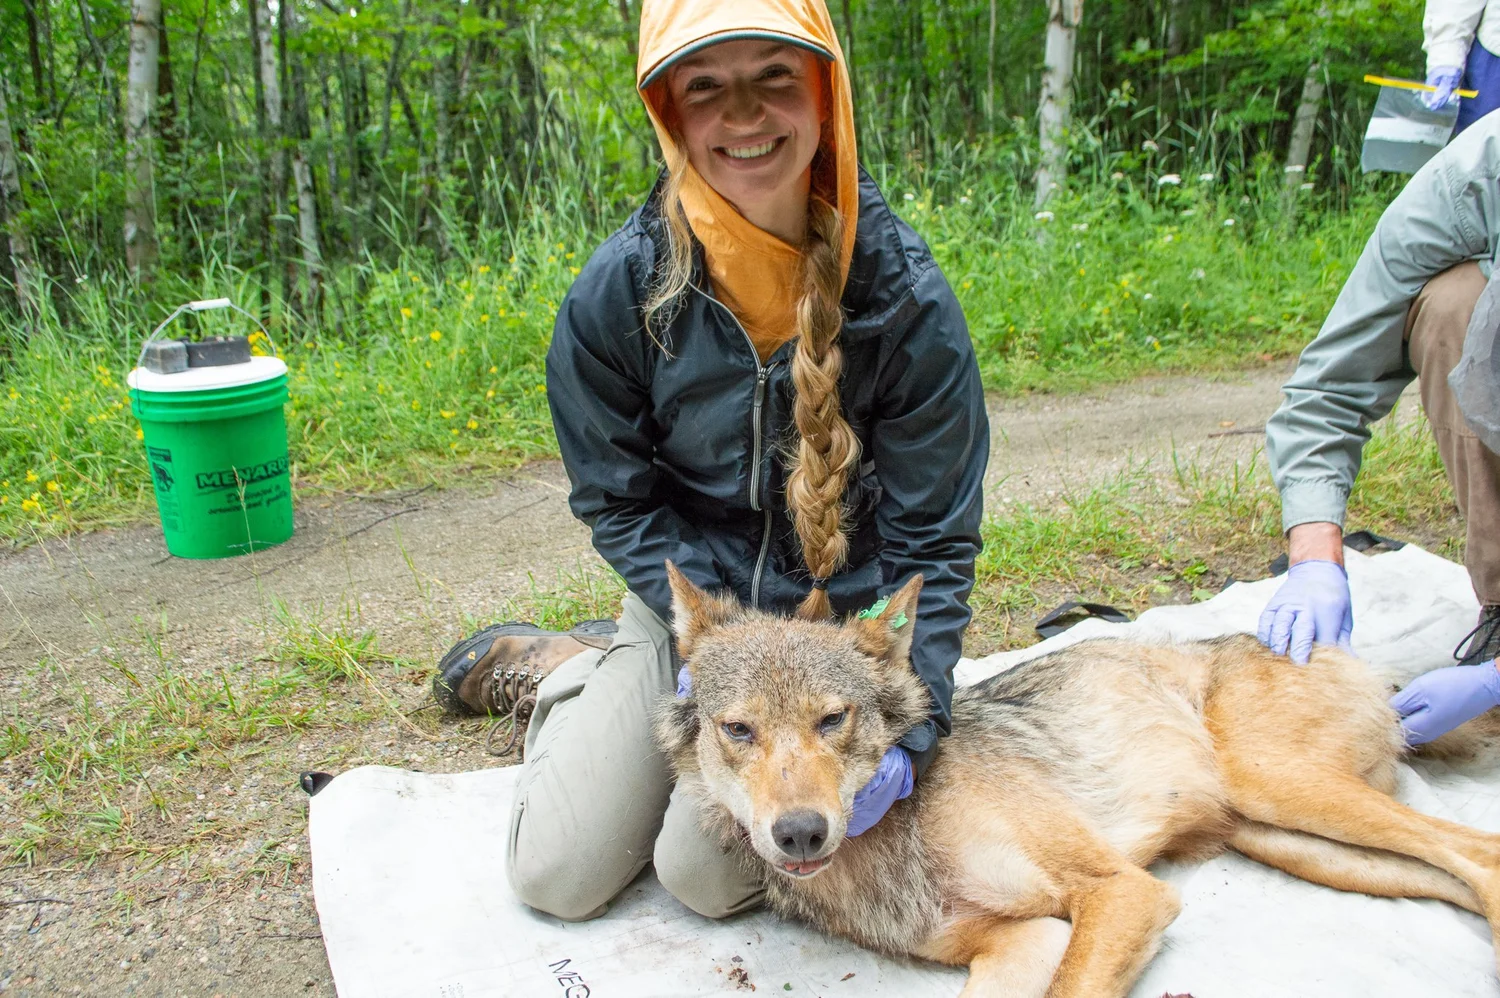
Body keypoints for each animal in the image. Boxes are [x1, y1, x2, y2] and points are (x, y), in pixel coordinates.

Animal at [654, 564, 1500, 998]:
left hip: (1285, 795)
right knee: (1458, 868)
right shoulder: (1026, 940)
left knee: (1478, 852)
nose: (800, 832)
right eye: (738, 731)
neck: (897, 831)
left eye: (833, 720)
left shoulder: (1123, 891)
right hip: (1302, 846)